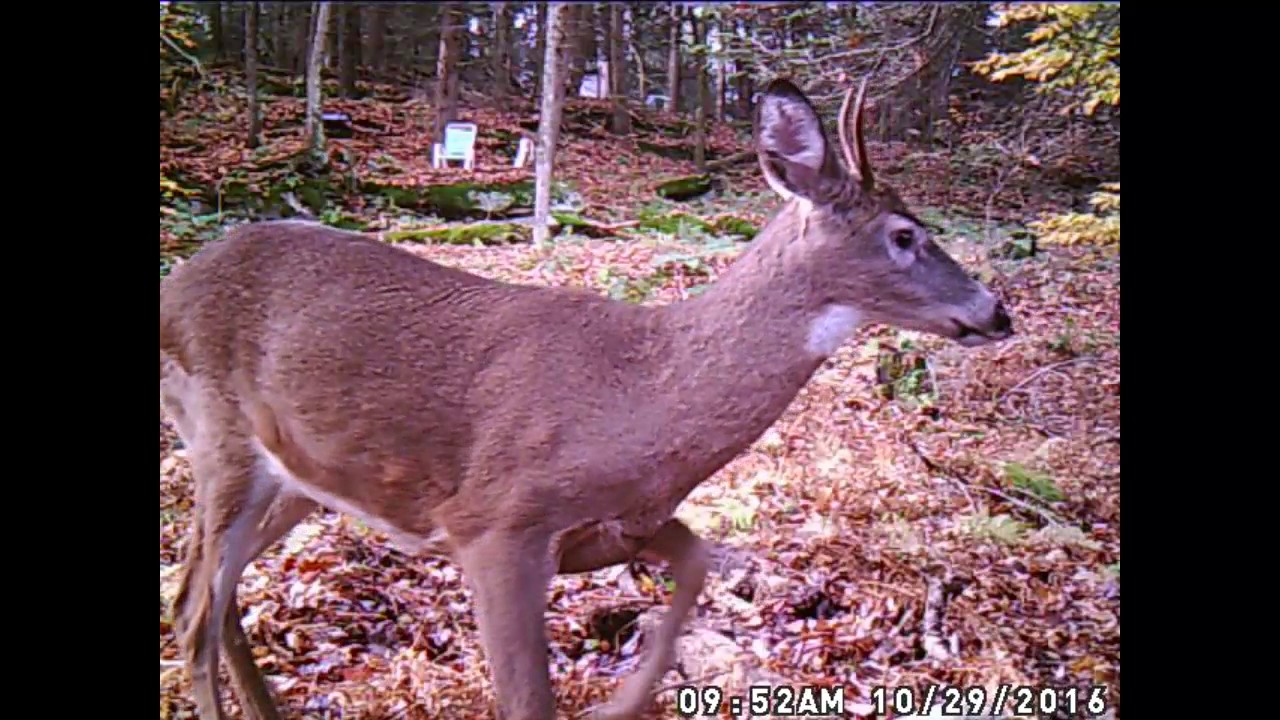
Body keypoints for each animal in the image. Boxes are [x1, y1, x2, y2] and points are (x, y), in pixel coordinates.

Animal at [159, 77, 1013, 720]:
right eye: (904, 235)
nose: (997, 311)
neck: (640, 391)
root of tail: (177, 284)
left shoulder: (613, 524)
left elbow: (696, 563)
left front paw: (622, 702)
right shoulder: (495, 522)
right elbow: (526, 699)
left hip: (298, 479)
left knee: (215, 595)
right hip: (220, 435)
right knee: (194, 609)